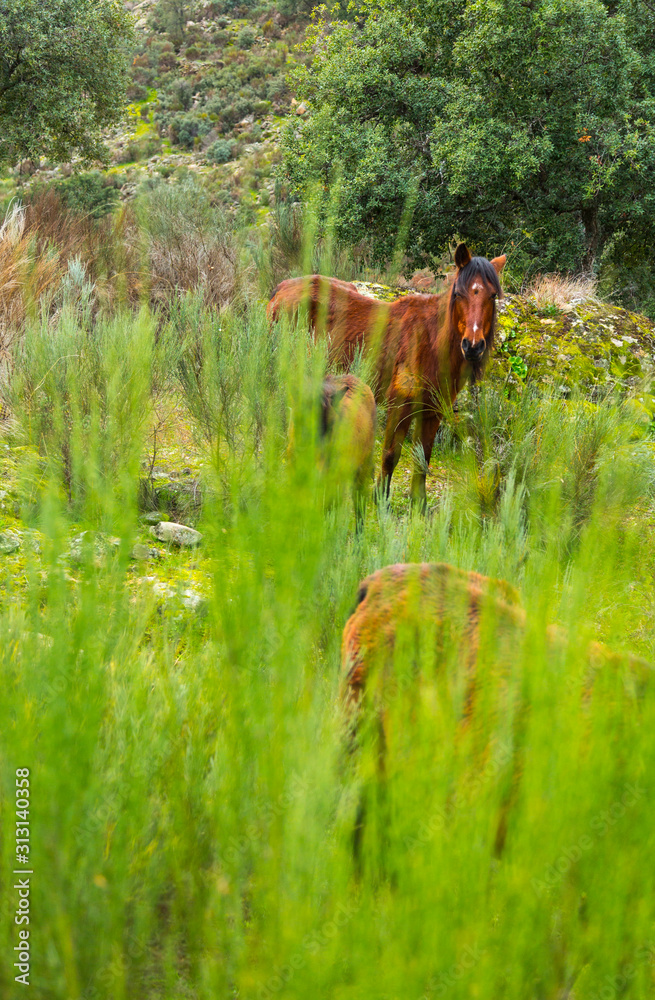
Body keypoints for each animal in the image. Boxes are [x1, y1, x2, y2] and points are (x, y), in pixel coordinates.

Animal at [268, 244, 506, 507]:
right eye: (459, 293)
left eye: (492, 296)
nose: (473, 346)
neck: (431, 341)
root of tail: (281, 289)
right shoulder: (400, 404)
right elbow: (391, 454)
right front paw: (381, 497)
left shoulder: (432, 411)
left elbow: (423, 457)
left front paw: (419, 503)